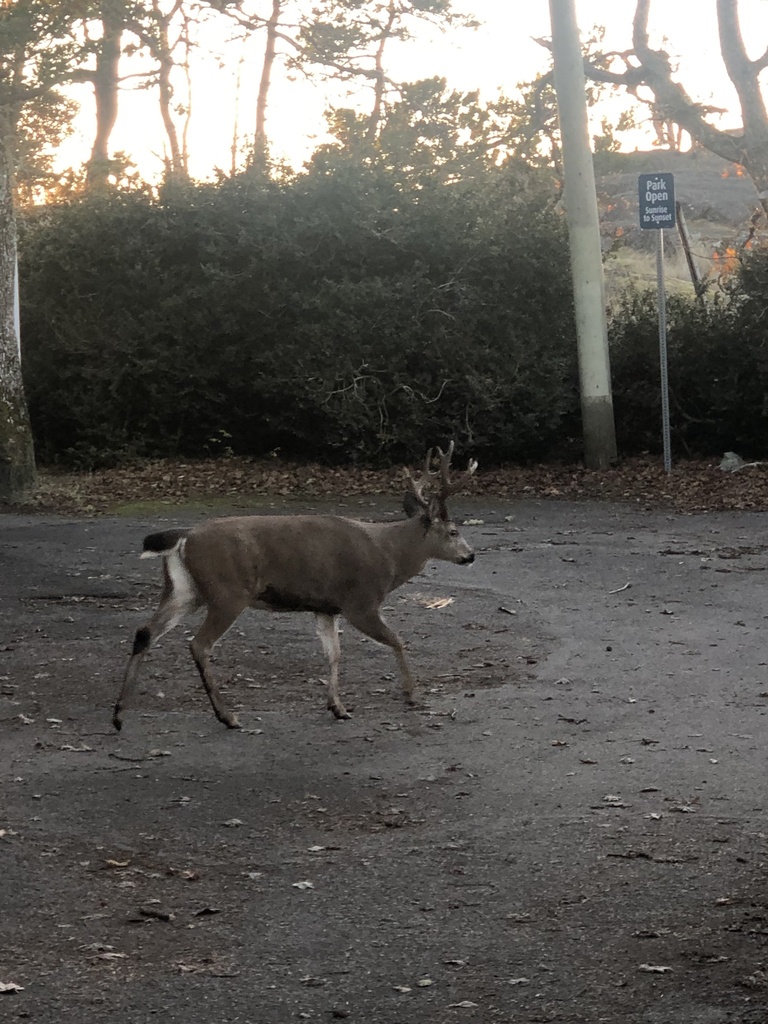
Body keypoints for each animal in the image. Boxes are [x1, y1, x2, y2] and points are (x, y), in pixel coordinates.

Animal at [112, 443, 477, 731]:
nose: (471, 555)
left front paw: (338, 707)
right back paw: (227, 716)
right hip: (227, 591)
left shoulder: (326, 607)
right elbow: (397, 641)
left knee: (145, 631)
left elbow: (334, 654)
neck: (390, 553)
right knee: (199, 644)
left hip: (185, 589)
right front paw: (411, 695)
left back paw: (119, 714)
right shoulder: (360, 601)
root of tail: (184, 537)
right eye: (453, 532)